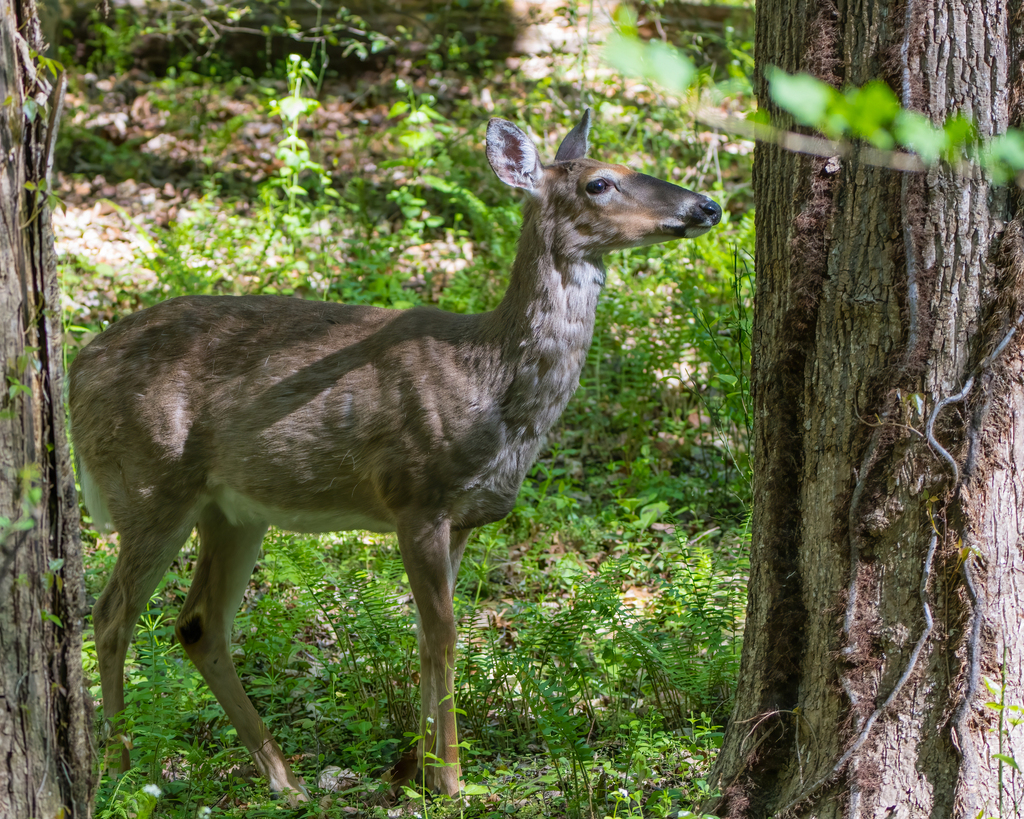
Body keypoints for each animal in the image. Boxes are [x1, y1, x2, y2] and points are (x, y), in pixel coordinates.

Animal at [68, 109, 721, 801]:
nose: (707, 205)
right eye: (599, 183)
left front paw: (416, 770)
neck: (491, 387)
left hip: (234, 510)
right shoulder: (416, 495)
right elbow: (444, 634)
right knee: (110, 615)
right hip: (149, 480)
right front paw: (452, 780)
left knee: (197, 622)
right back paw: (126, 773)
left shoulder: (462, 517)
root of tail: (75, 367)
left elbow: (427, 634)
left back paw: (284, 781)